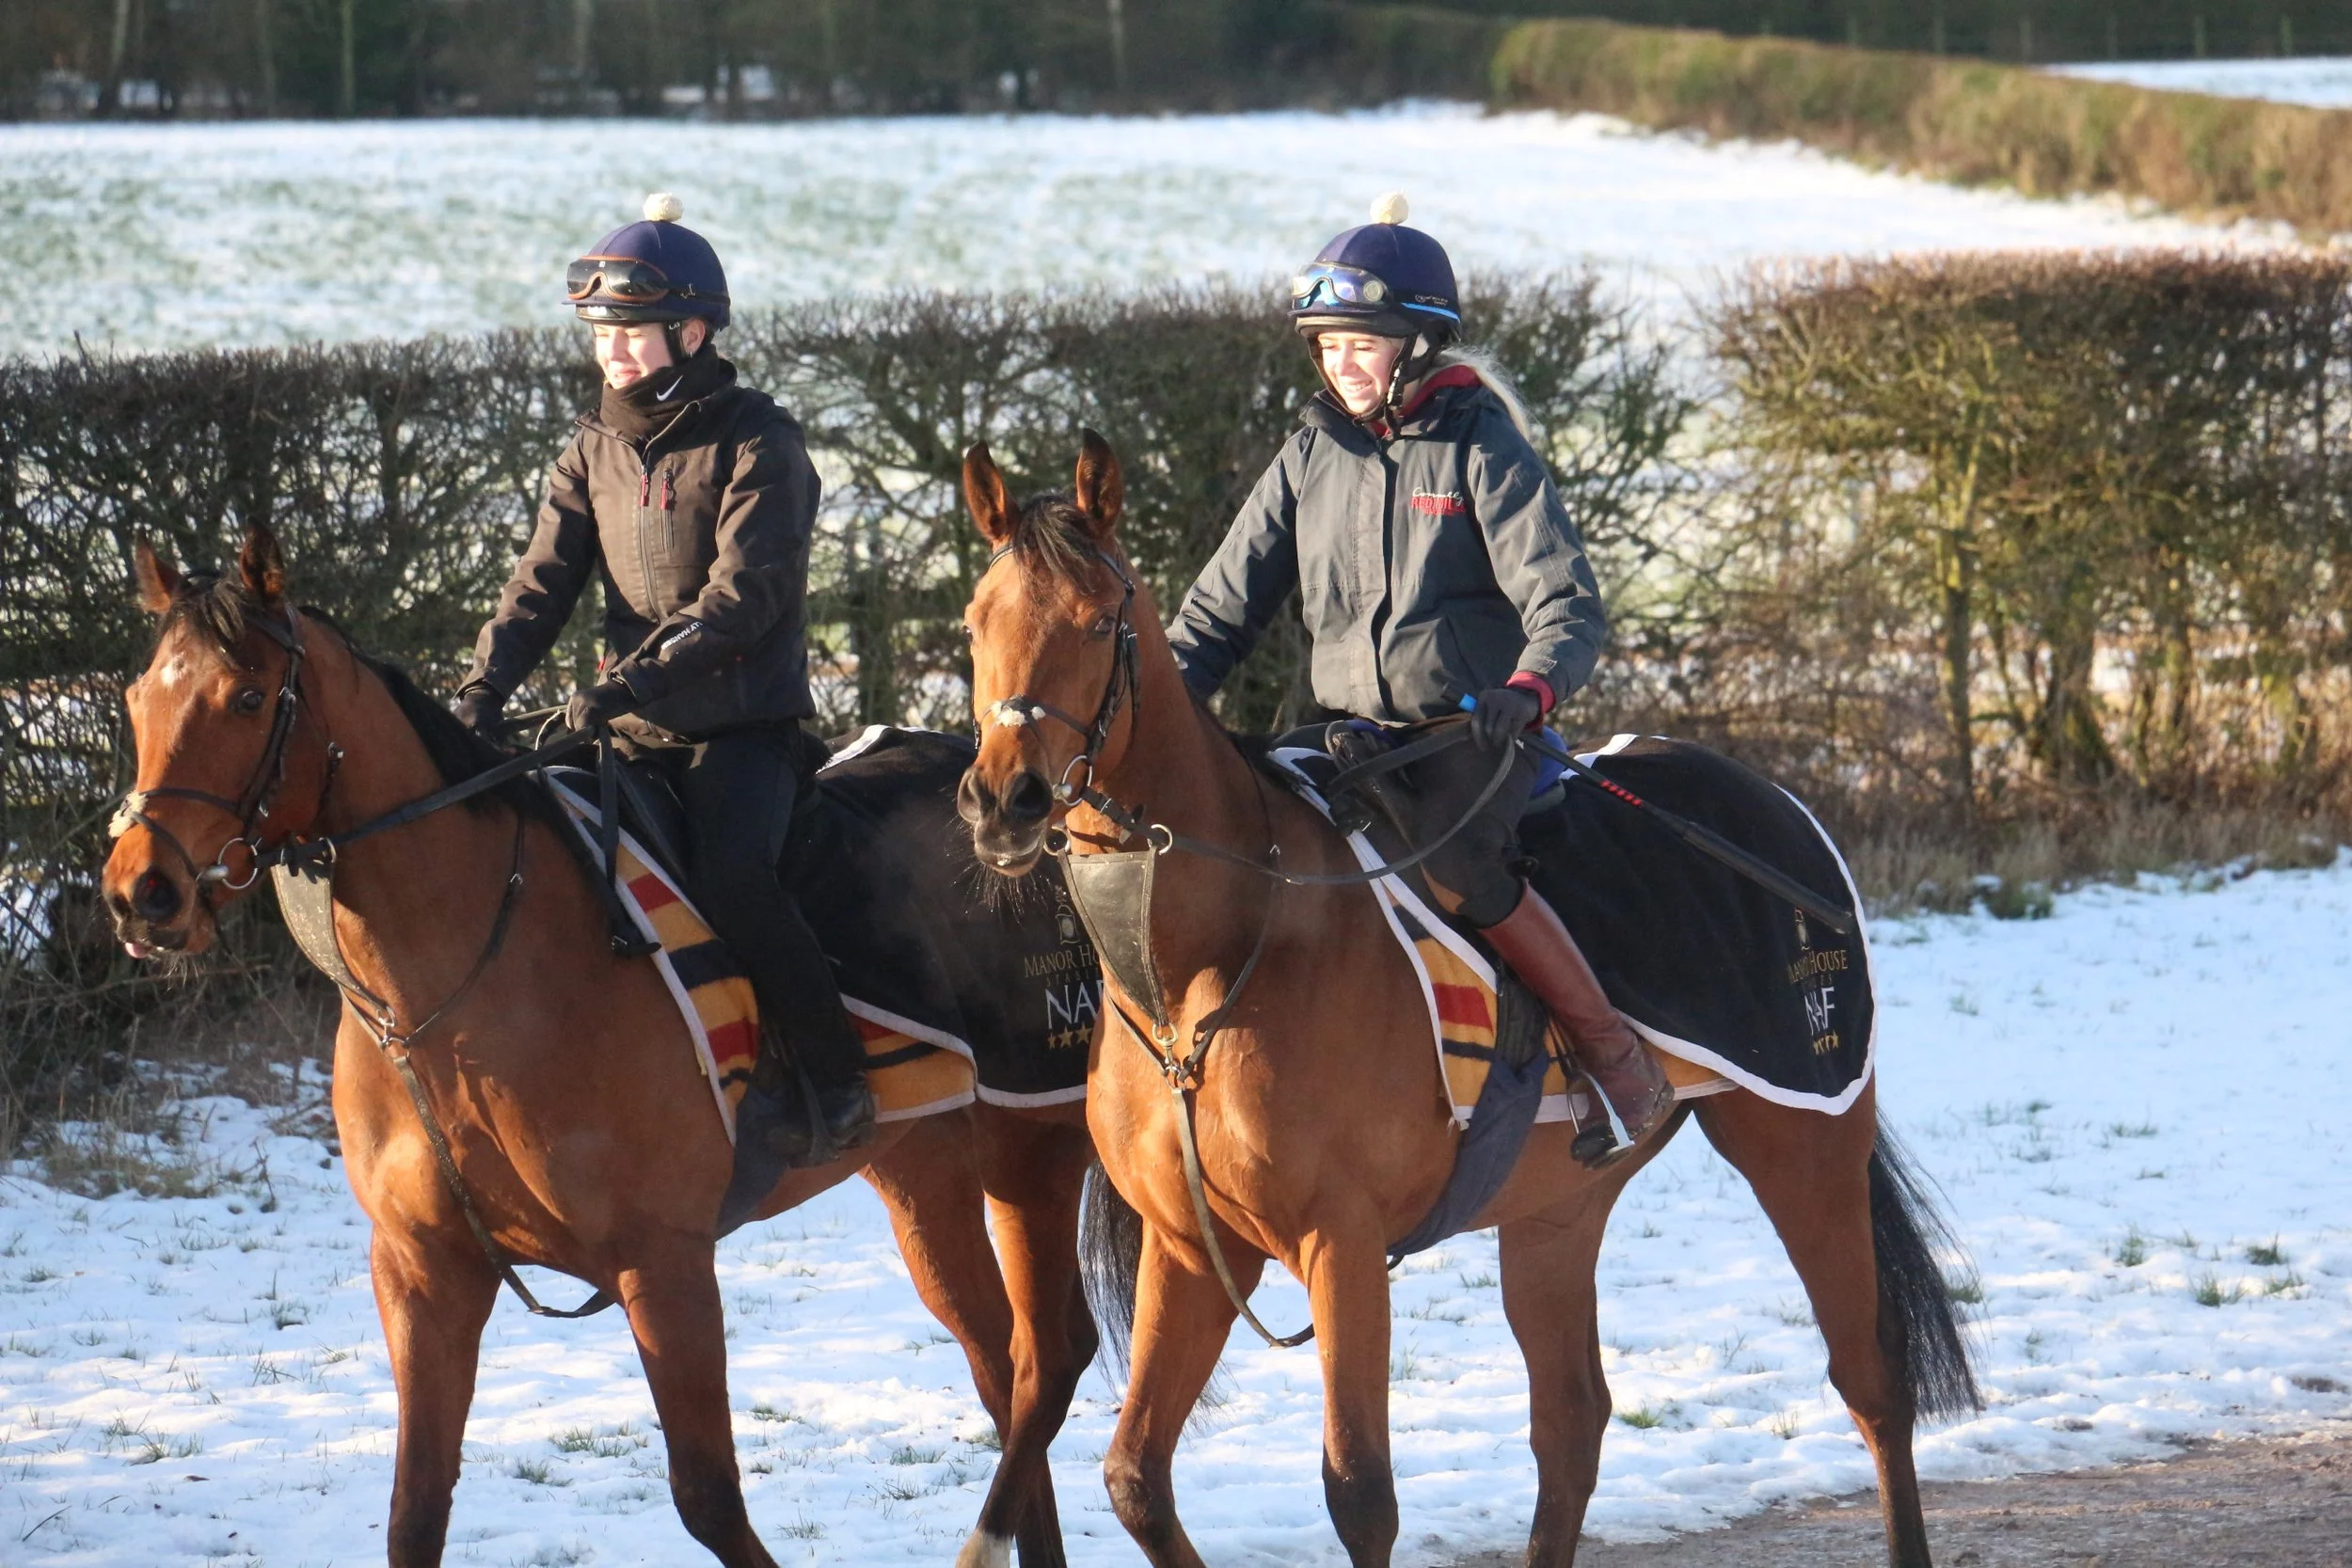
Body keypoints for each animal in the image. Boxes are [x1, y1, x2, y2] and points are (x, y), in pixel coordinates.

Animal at [103, 523, 1095, 1568]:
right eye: (137, 697)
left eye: (248, 697)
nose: (141, 891)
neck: (469, 988)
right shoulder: (422, 1269)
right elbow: (415, 1509)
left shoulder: (663, 1265)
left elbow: (709, 1496)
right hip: (924, 1169)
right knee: (1005, 1366)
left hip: (1035, 1145)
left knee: (1051, 1357)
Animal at [953, 432, 1980, 1568]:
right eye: (974, 621)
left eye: (1099, 619)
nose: (1004, 800)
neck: (1202, 969)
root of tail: (1775, 805)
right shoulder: (1191, 1249)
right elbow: (1135, 1474)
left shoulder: (1342, 1243)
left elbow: (1359, 1492)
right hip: (1559, 1207)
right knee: (1572, 1418)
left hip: (1805, 1137)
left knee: (1872, 1382)